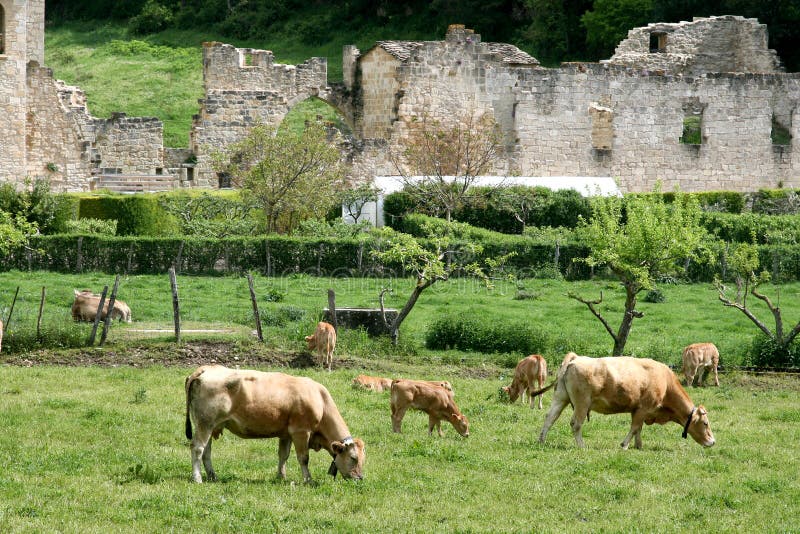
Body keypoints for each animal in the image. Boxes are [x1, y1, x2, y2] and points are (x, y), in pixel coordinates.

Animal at [184, 365, 365, 484]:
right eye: (353, 458)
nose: (360, 478)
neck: (320, 400)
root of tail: (206, 368)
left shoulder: (286, 433)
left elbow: (283, 455)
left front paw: (281, 477)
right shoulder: (301, 432)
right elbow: (303, 458)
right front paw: (308, 480)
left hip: (209, 425)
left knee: (206, 451)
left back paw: (212, 476)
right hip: (205, 423)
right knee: (198, 448)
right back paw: (197, 478)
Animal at [535, 352, 715, 450]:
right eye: (705, 423)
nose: (713, 442)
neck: (666, 383)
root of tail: (576, 358)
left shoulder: (638, 410)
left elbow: (639, 429)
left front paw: (638, 445)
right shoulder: (643, 408)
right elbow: (635, 427)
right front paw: (625, 445)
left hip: (561, 397)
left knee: (550, 417)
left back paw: (541, 440)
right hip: (582, 403)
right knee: (576, 424)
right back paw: (582, 446)